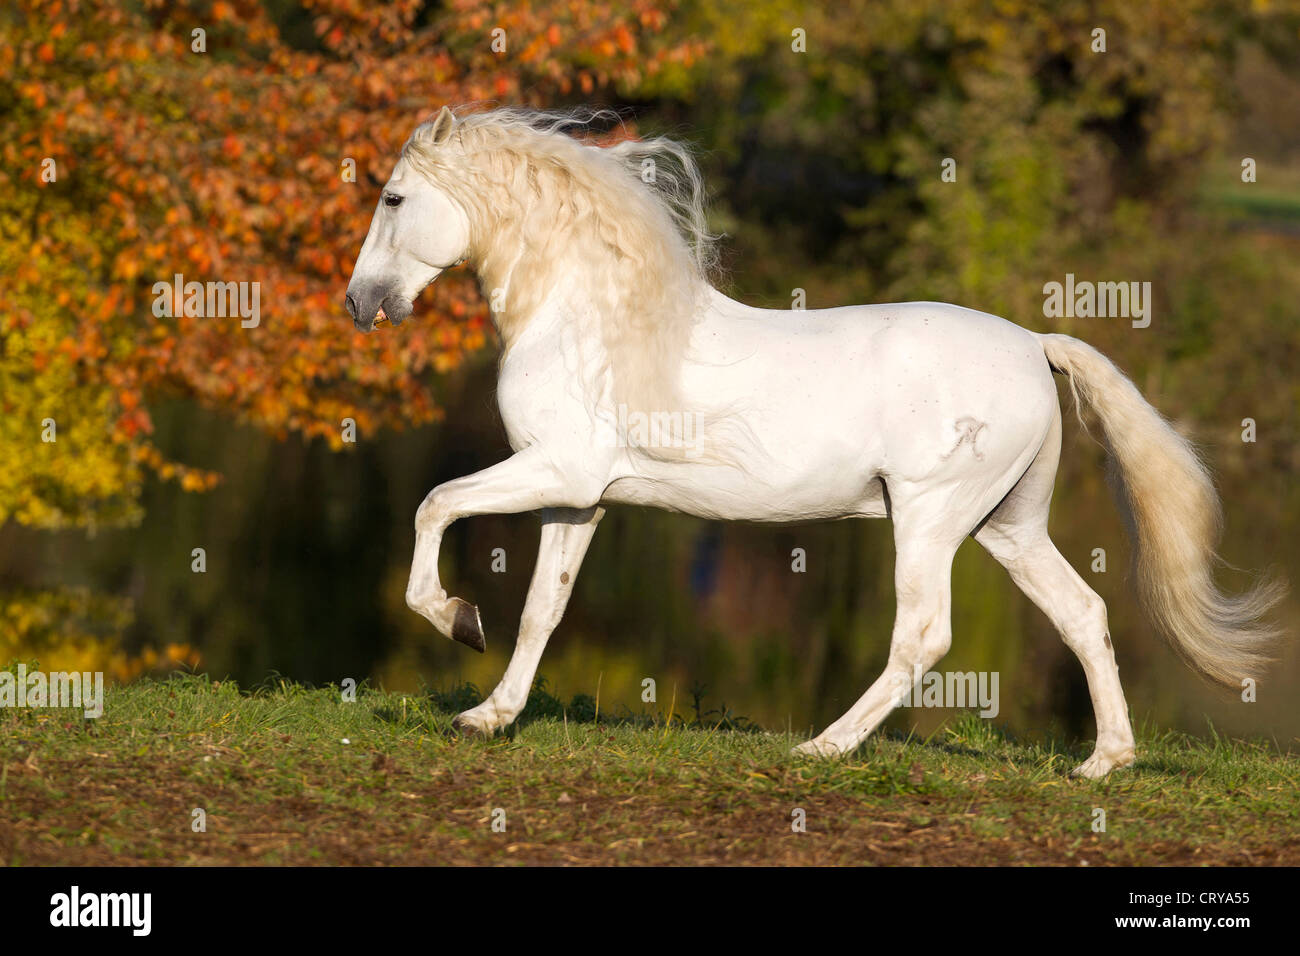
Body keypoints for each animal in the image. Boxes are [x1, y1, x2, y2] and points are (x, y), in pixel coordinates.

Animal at [343, 106, 1283, 778]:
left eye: (393, 198)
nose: (360, 304)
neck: (591, 318)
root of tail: (1033, 344)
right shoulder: (579, 499)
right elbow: (544, 609)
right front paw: (487, 717)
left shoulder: (551, 471)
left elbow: (434, 507)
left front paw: (458, 621)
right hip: (1007, 527)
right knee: (1084, 614)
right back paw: (1102, 764)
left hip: (930, 522)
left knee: (923, 637)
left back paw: (824, 748)